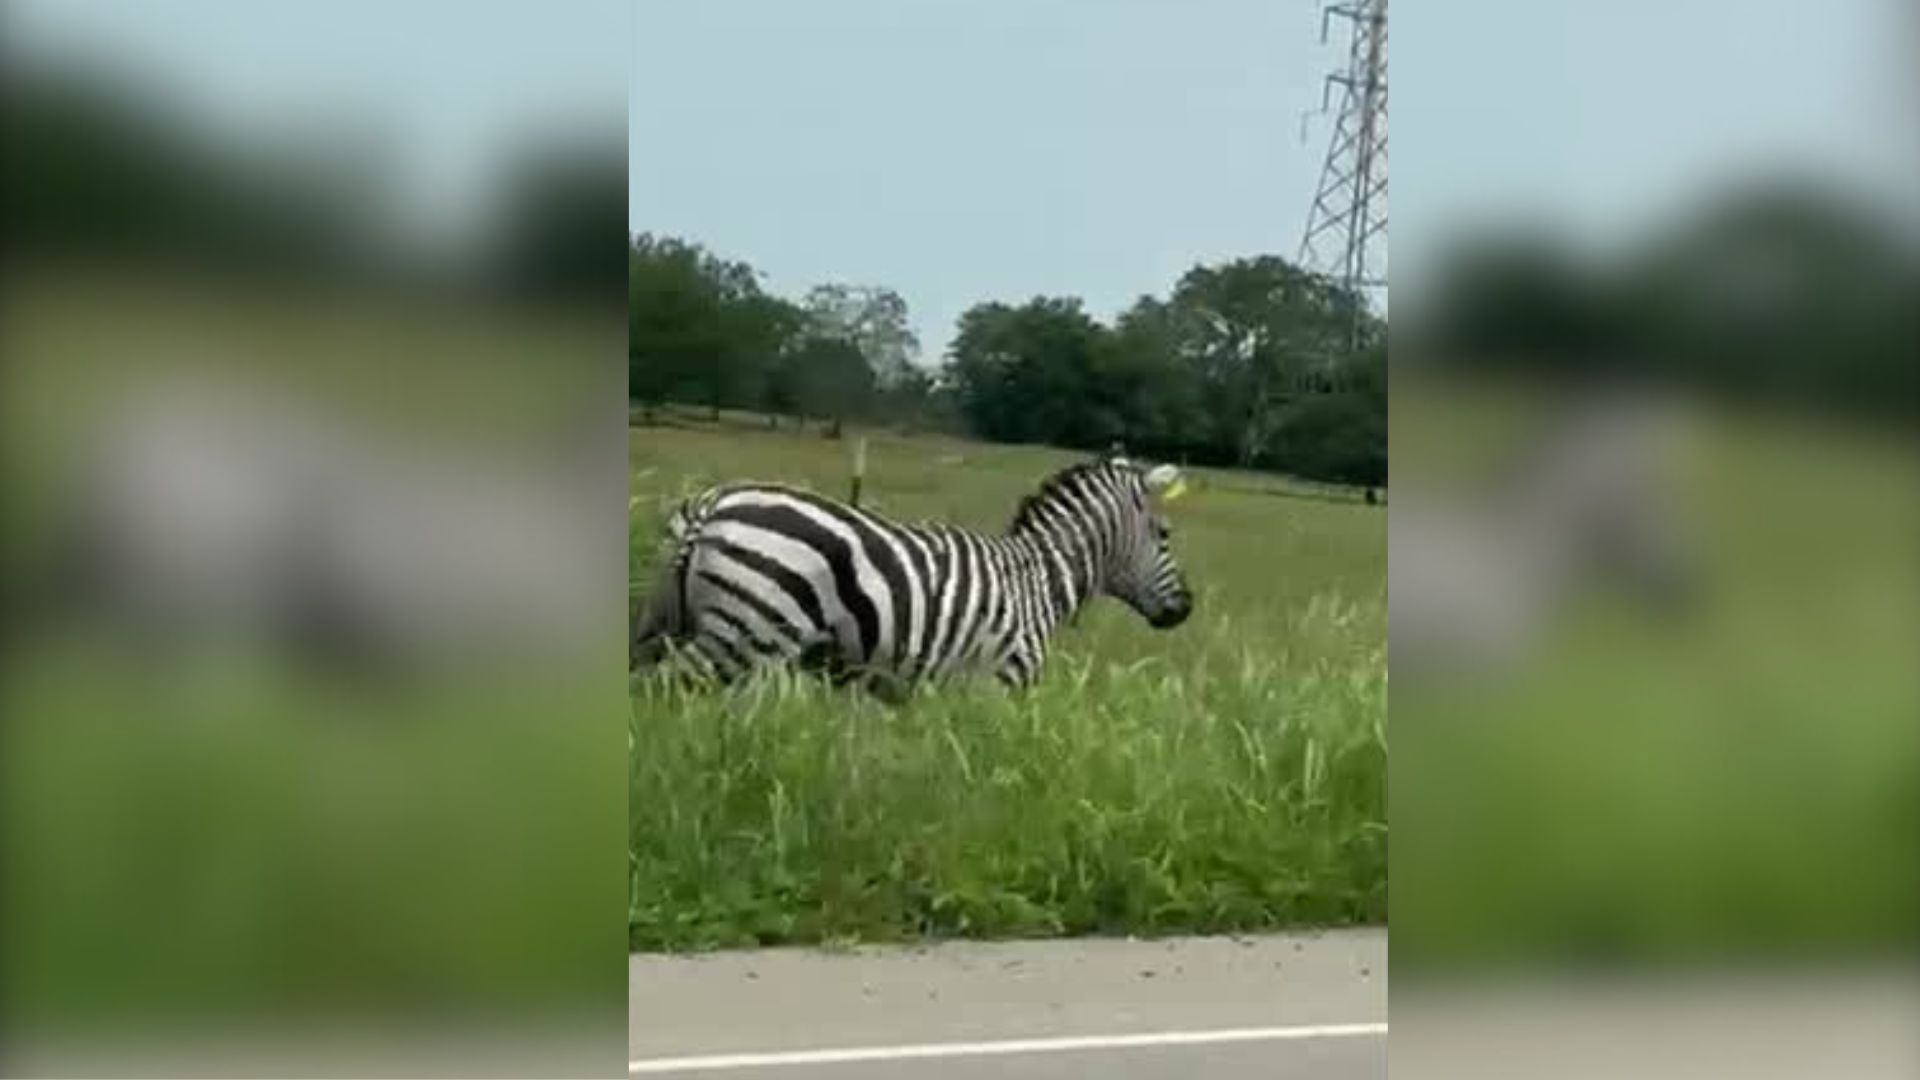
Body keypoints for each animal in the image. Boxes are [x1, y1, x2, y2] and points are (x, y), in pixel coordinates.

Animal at [630, 456, 1194, 689]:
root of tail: (713, 504)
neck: (1039, 579)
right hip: (740, 637)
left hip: (669, 625)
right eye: (1164, 535)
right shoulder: (1001, 683)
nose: (1186, 609)